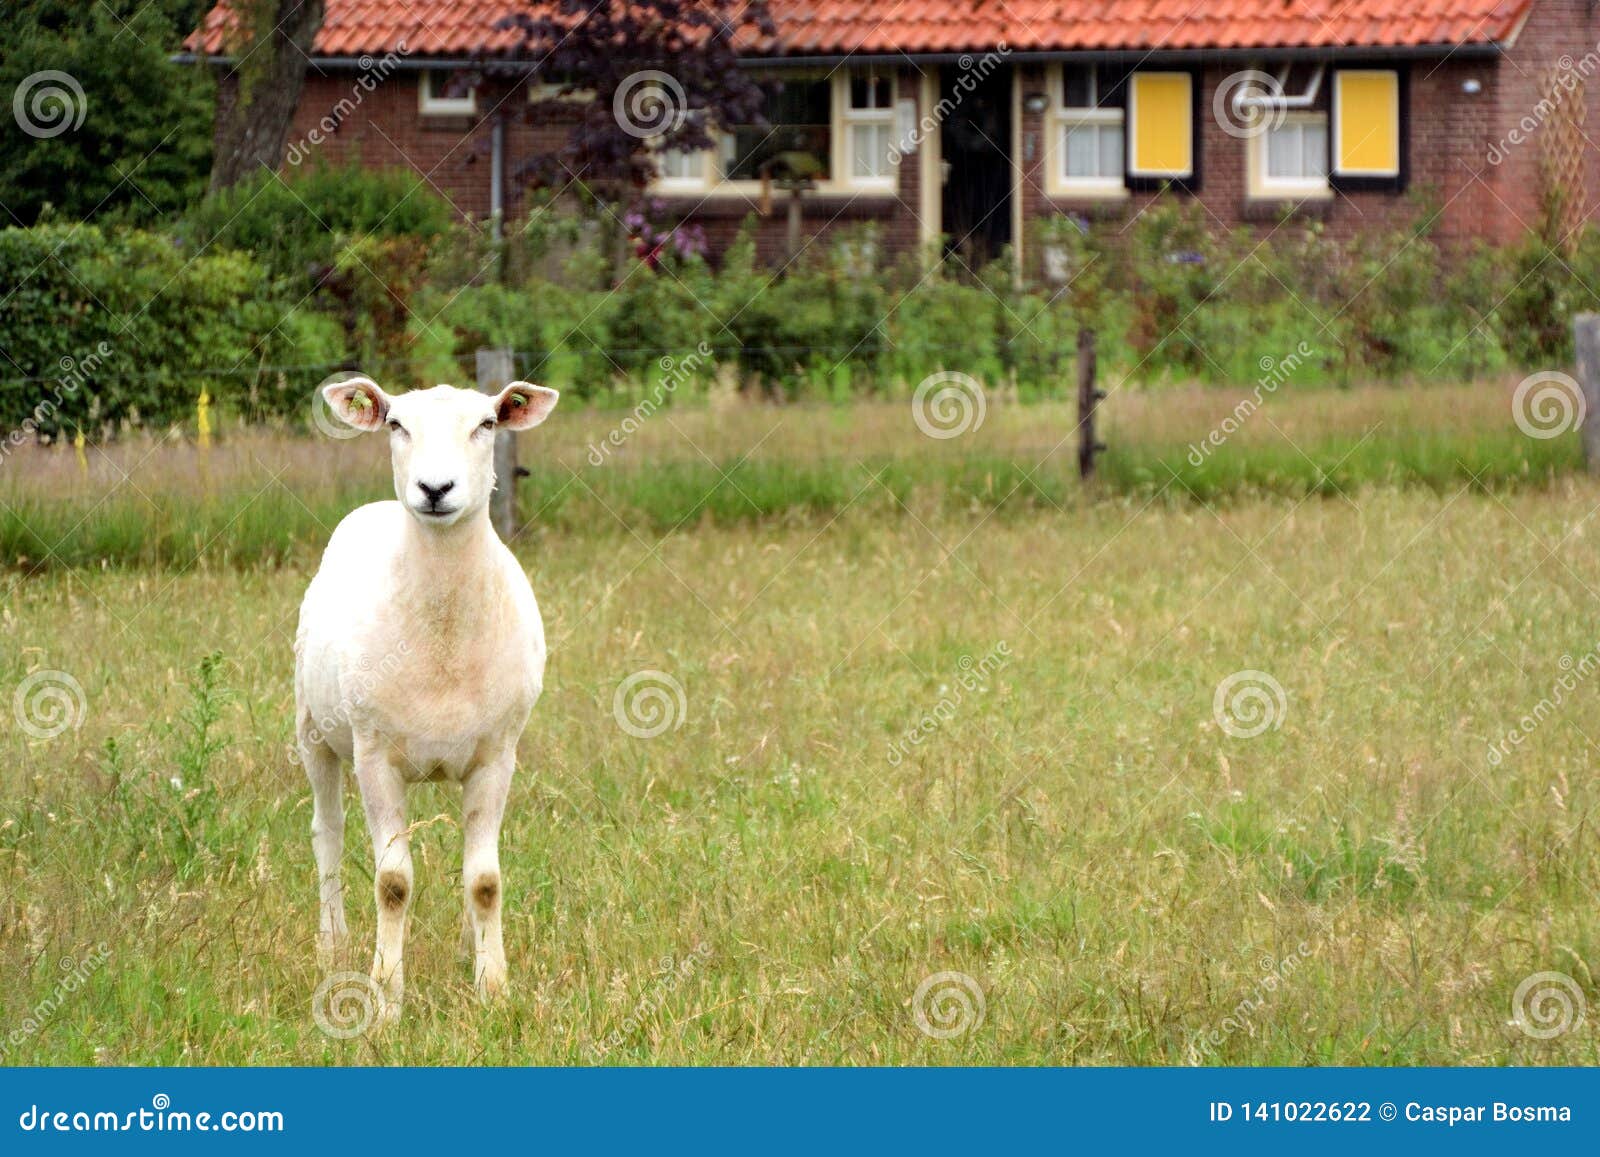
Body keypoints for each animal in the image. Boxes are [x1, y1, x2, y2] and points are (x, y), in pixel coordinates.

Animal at [295, 375, 558, 1022]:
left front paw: (493, 985)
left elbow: (484, 879)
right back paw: (333, 943)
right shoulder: (374, 758)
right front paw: (385, 997)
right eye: (396, 425)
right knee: (327, 831)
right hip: (313, 730)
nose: (434, 490)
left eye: (487, 424)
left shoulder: (496, 757)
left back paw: (467, 945)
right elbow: (393, 883)